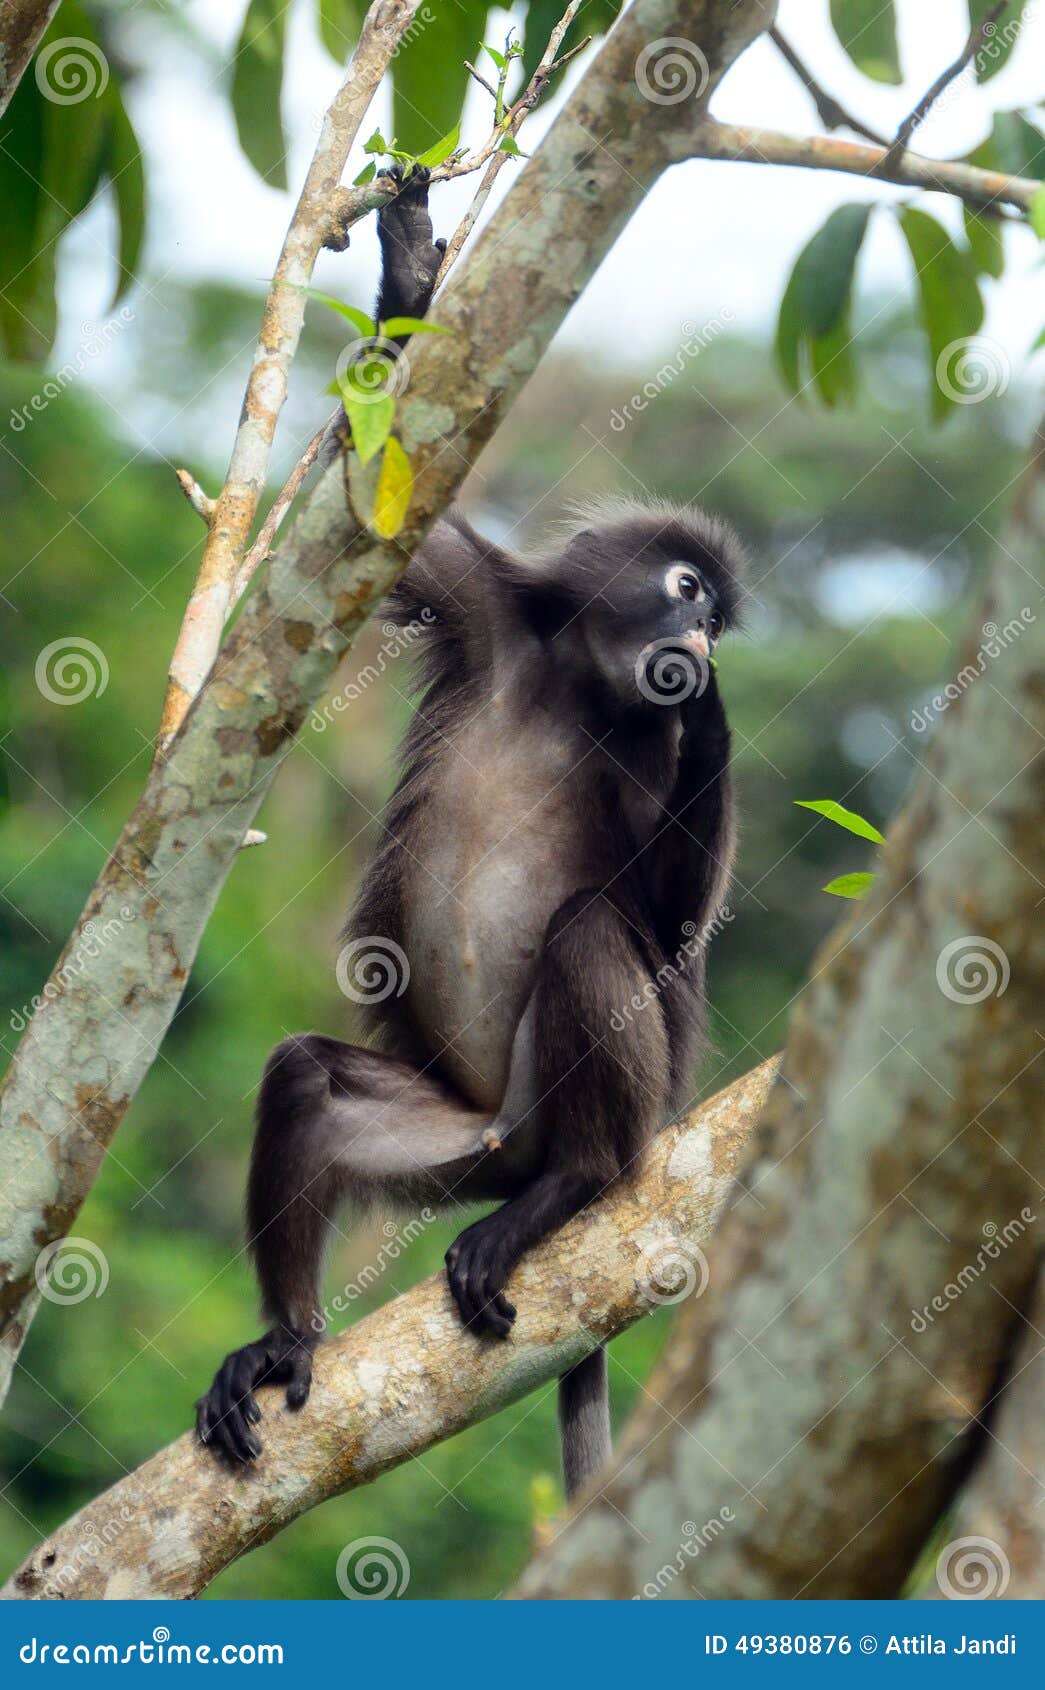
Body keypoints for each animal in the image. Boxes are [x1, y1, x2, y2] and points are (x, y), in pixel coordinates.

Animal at [195, 166, 745, 1500]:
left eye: (715, 619)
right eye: (688, 592)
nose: (697, 643)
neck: (578, 681)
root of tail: (516, 1138)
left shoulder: (640, 747)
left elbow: (663, 924)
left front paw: (715, 718)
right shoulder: (485, 605)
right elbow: (368, 491)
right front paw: (406, 278)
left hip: (609, 1110)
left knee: (589, 934)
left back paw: (577, 1186)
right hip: (460, 1138)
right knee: (308, 1078)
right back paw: (287, 1335)